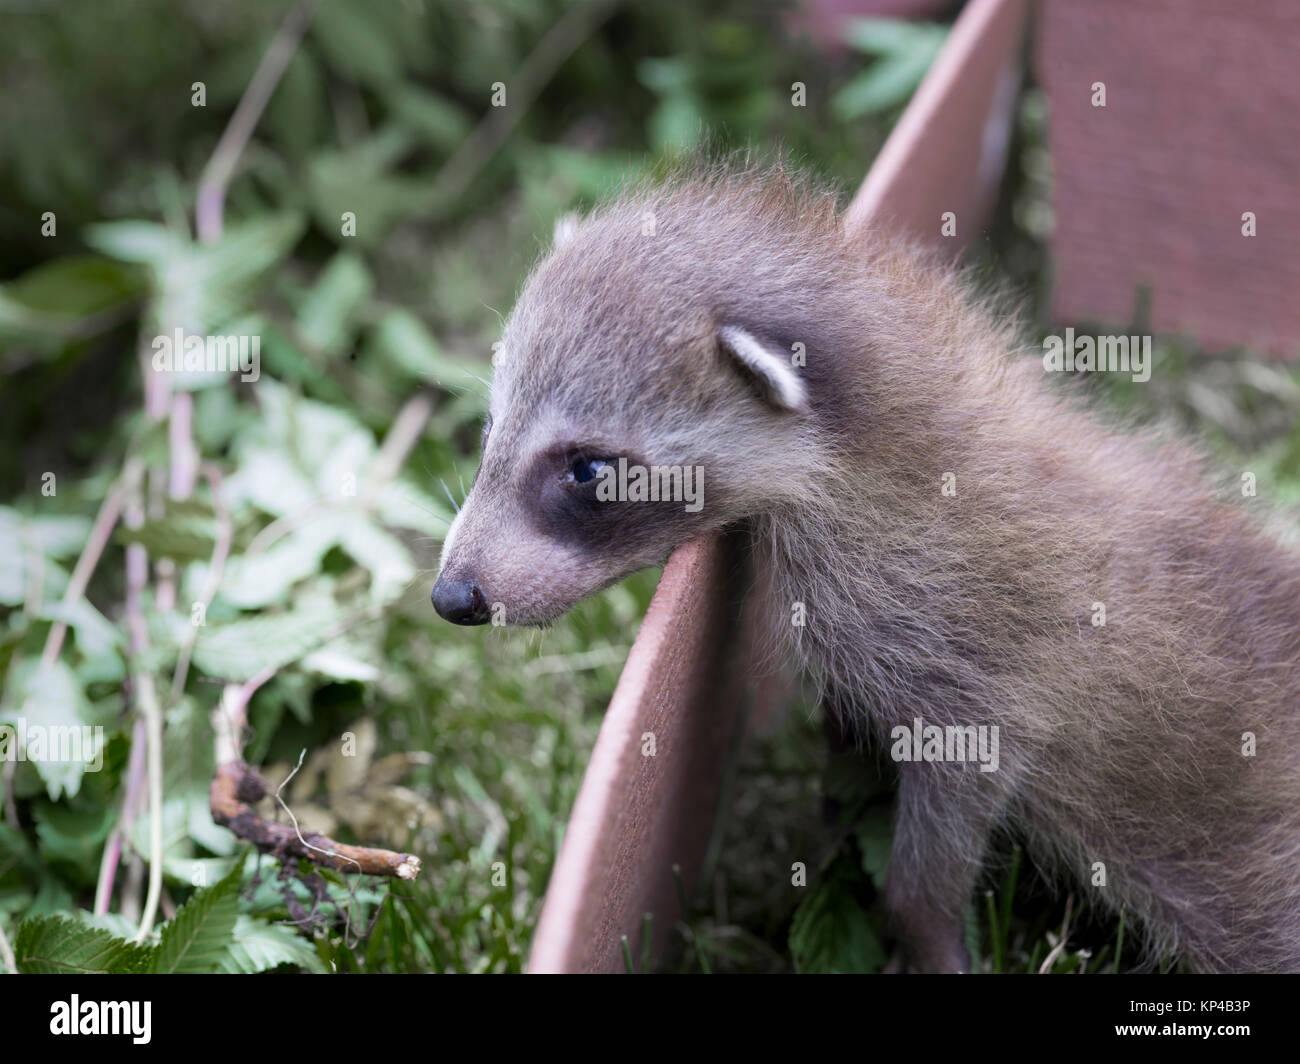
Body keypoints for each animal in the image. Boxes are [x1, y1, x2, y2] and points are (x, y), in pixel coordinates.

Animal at [431, 160, 1300, 973]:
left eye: (587, 469)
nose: (451, 596)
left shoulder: (984, 663)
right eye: (490, 427)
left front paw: (926, 938)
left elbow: (941, 831)